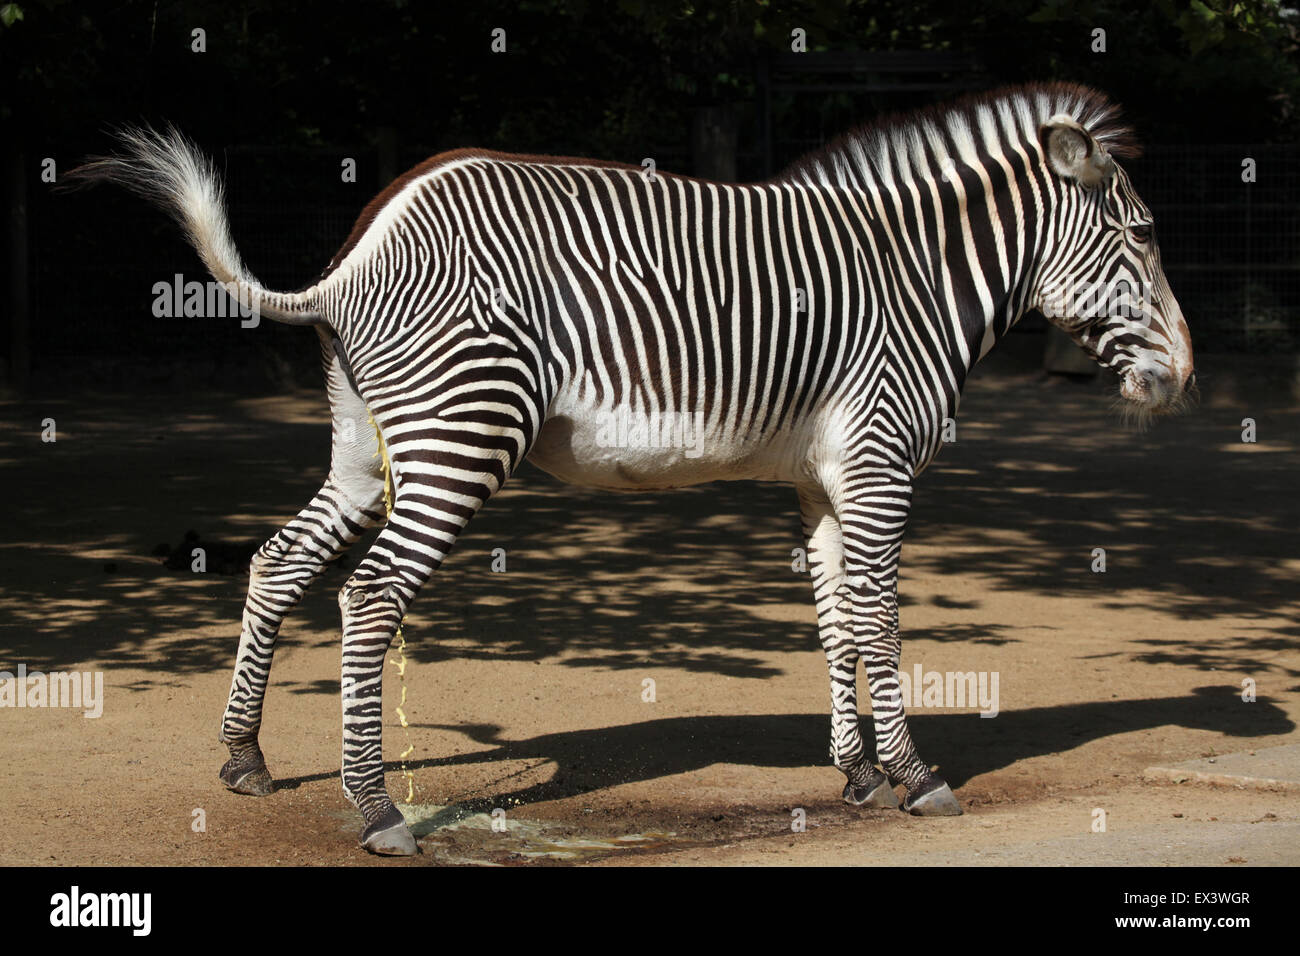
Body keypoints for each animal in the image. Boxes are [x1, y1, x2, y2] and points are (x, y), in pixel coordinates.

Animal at [67, 82, 1194, 855]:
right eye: (1142, 237)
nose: (1182, 378)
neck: (912, 278)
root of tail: (357, 253)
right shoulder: (877, 460)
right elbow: (879, 617)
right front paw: (916, 776)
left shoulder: (822, 477)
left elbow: (836, 618)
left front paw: (858, 774)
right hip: (460, 433)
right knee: (371, 593)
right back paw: (379, 806)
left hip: (367, 446)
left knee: (278, 563)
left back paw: (245, 758)